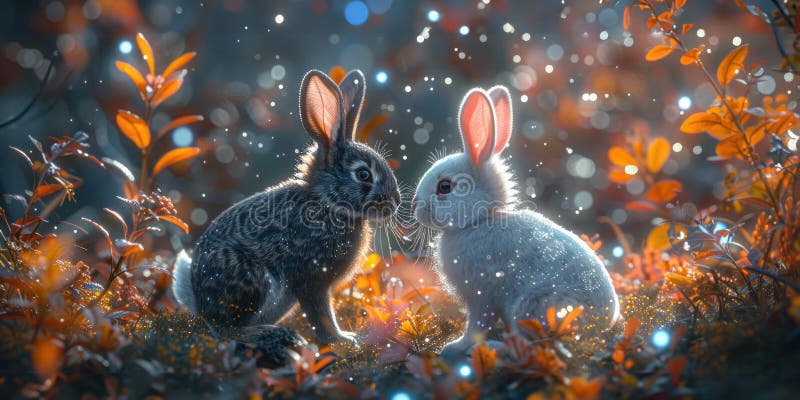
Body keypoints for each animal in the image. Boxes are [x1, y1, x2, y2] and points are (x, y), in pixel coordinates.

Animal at [172, 69, 401, 351]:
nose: (396, 202)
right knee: (227, 330)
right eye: (363, 174)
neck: (326, 203)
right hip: (251, 279)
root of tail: (199, 301)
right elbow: (321, 316)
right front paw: (343, 340)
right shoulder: (312, 280)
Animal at [411, 86, 620, 357]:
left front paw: (455, 346)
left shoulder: (482, 294)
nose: (414, 205)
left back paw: (493, 347)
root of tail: (599, 325)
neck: (479, 220)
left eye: (444, 186)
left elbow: (477, 324)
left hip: (533, 307)